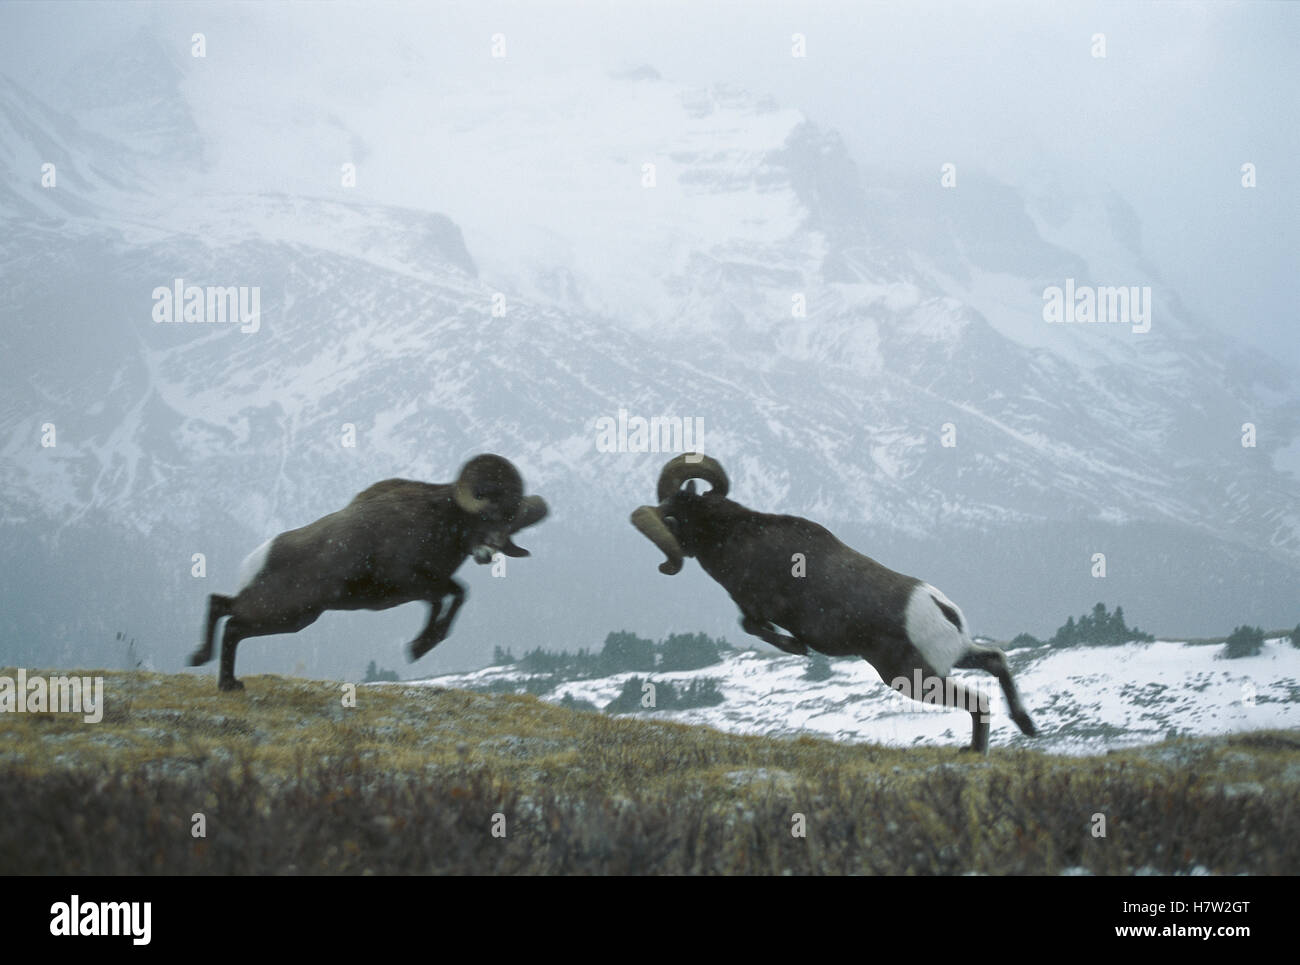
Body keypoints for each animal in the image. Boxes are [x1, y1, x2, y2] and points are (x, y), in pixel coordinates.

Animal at [190, 454, 548, 691]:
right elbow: (455, 593)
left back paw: (214, 670)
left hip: (295, 616)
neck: (438, 523)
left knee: (223, 607)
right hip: (287, 612)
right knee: (231, 620)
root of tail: (261, 556)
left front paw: (420, 646)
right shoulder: (410, 580)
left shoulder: (420, 589)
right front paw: (420, 646)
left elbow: (451, 598)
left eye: (512, 526)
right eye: (487, 515)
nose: (487, 556)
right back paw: (220, 678)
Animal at [629, 453, 1037, 752]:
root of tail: (942, 611)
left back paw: (975, 751)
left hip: (914, 679)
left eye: (670, 515)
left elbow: (753, 627)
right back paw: (1026, 726)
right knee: (996, 661)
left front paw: (796, 648)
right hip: (952, 659)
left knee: (978, 701)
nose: (668, 559)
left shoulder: (758, 608)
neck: (736, 537)